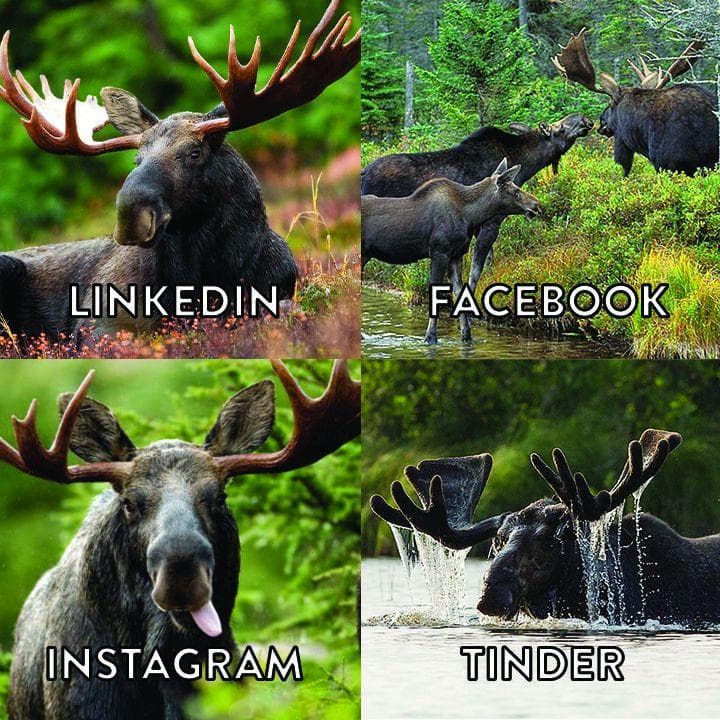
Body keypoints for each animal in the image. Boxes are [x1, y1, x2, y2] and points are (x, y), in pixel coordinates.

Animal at [361, 159, 541, 344]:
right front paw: (430, 338)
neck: (471, 215)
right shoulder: (439, 252)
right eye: (516, 191)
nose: (537, 205)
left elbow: (459, 293)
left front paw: (467, 337)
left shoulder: (456, 255)